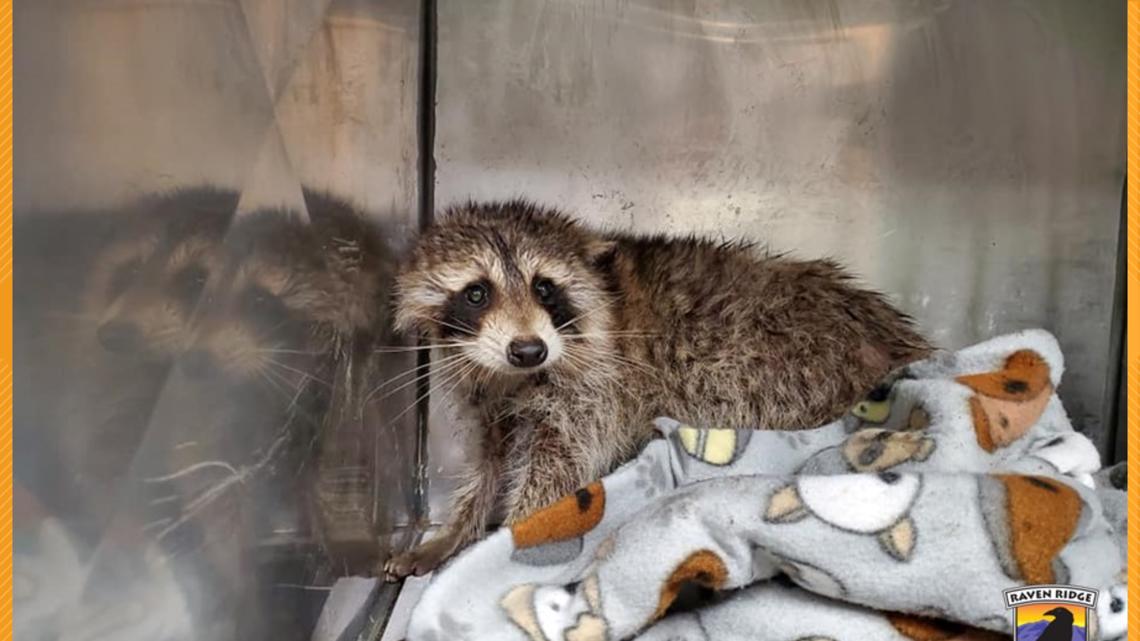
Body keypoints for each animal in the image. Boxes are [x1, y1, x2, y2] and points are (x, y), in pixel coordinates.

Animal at [384, 200, 931, 578]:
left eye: (544, 288)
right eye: (477, 293)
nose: (528, 349)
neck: (516, 378)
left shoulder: (598, 388)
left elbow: (557, 472)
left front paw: (499, 544)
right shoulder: (485, 390)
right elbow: (488, 461)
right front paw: (457, 530)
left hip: (786, 364)